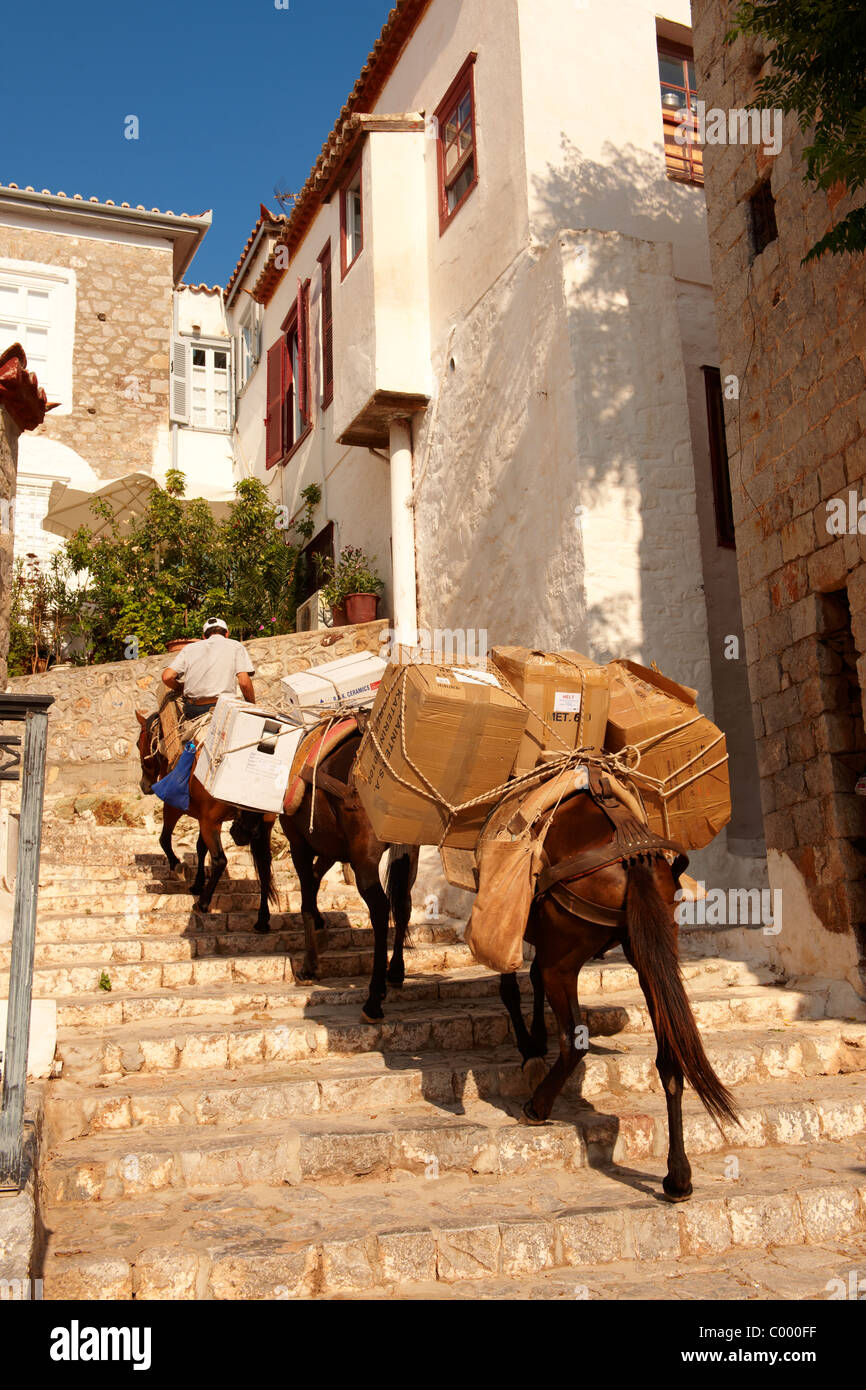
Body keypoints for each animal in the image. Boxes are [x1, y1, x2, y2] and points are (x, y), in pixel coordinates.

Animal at [134, 709, 277, 933]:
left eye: (137, 743)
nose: (144, 785)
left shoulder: (176, 807)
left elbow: (165, 839)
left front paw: (178, 867)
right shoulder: (204, 818)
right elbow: (200, 848)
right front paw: (198, 883)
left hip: (209, 821)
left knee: (220, 860)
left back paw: (202, 903)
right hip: (262, 827)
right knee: (263, 866)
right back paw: (262, 920)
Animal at [276, 724, 419, 1024]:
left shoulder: (299, 845)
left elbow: (306, 899)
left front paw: (309, 966)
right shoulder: (331, 849)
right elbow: (315, 882)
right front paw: (320, 926)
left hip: (363, 858)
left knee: (380, 910)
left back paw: (373, 1000)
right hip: (409, 849)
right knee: (403, 904)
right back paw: (395, 972)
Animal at [498, 792, 738, 1202]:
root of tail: (632, 852)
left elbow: (512, 984)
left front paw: (530, 1046)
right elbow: (527, 979)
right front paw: (535, 1040)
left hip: (565, 962)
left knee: (574, 1040)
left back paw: (537, 1107)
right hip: (651, 953)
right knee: (670, 1059)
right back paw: (678, 1177)